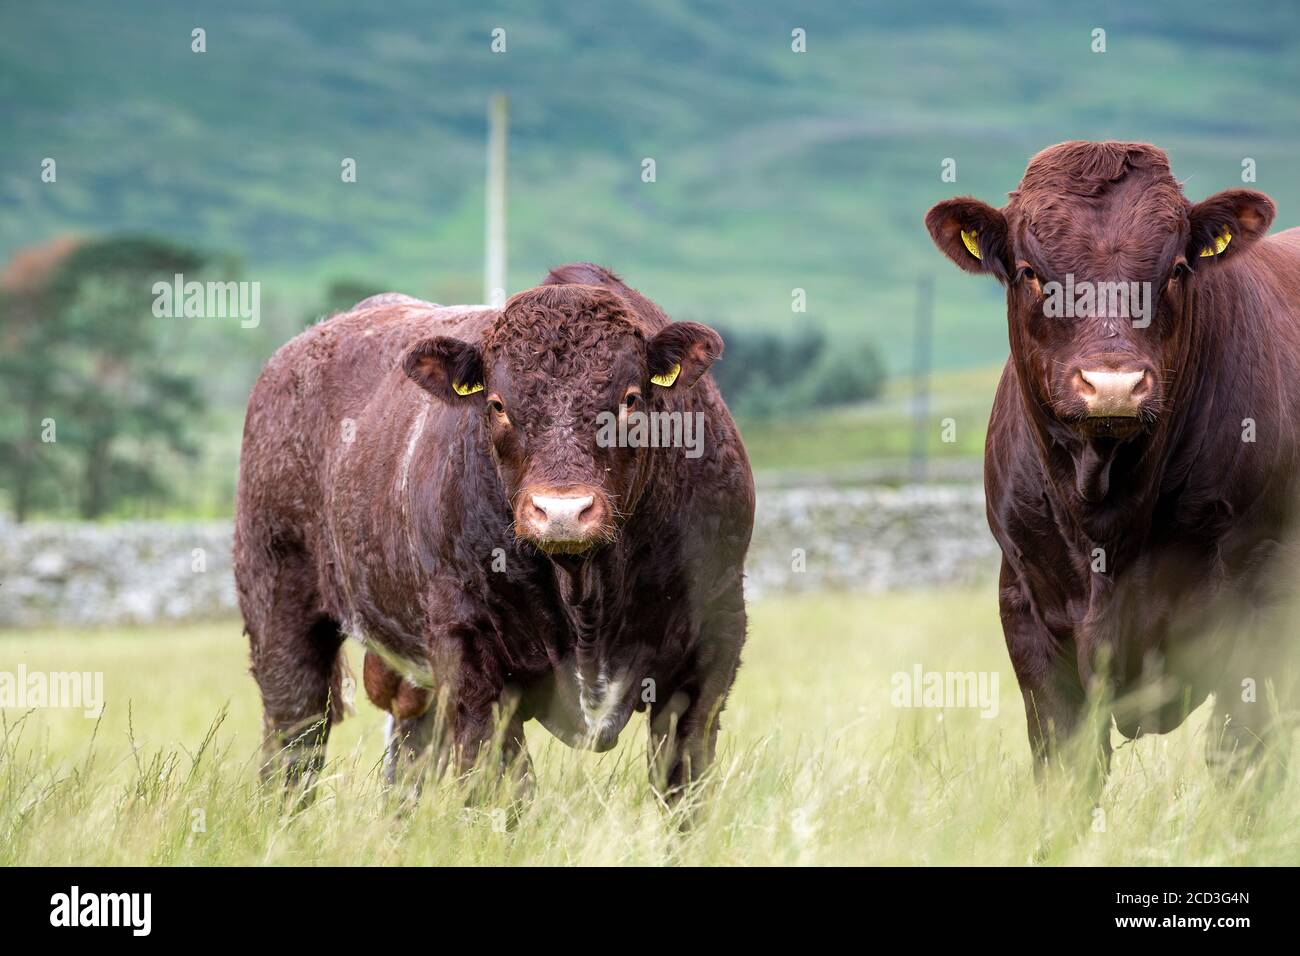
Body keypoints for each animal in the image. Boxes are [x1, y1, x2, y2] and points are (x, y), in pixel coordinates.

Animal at [233, 264, 754, 806]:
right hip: (280, 612)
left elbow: (684, 782)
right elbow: (502, 785)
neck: (586, 597)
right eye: (499, 405)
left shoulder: (712, 644)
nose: (562, 511)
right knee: (294, 744)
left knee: (407, 764)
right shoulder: (471, 653)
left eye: (631, 399)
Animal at [926, 141, 1300, 782]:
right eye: (1030, 272)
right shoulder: (1024, 602)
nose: (1113, 385)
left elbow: (1239, 757)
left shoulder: (1266, 594)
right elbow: (1066, 767)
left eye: (1176, 269)